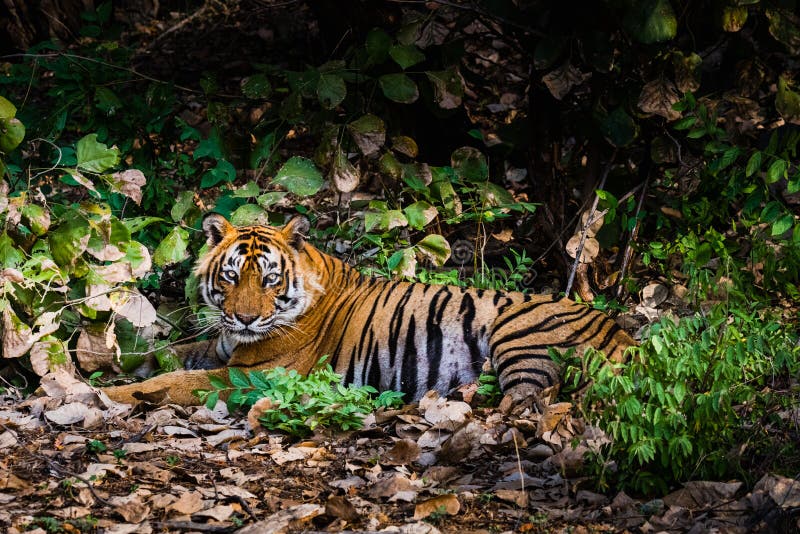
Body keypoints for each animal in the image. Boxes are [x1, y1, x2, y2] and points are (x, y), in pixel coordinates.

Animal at [103, 213, 634, 407]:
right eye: (232, 276)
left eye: (270, 279)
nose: (247, 319)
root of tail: (623, 335)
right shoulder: (221, 346)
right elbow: (169, 353)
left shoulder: (255, 374)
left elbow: (176, 381)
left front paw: (117, 396)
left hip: (517, 336)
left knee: (526, 406)